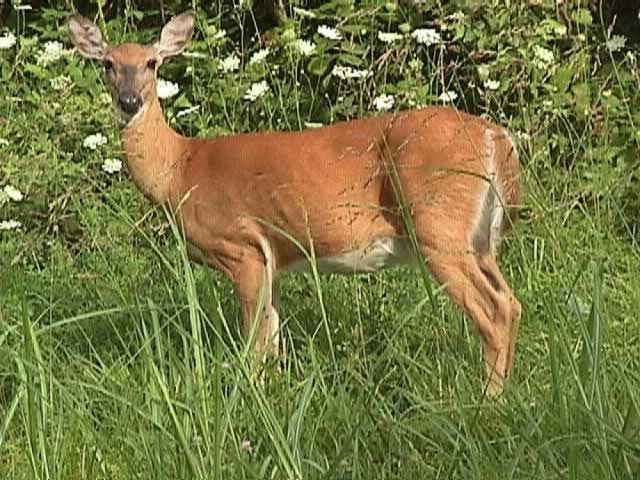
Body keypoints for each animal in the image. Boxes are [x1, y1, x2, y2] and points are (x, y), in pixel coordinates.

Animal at [68, 11, 522, 397]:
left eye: (151, 63)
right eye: (108, 64)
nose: (129, 101)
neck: (180, 169)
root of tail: (498, 138)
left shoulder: (241, 246)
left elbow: (255, 346)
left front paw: (252, 400)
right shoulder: (272, 259)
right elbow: (272, 342)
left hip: (436, 226)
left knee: (495, 310)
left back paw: (487, 401)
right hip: (480, 238)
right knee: (512, 302)